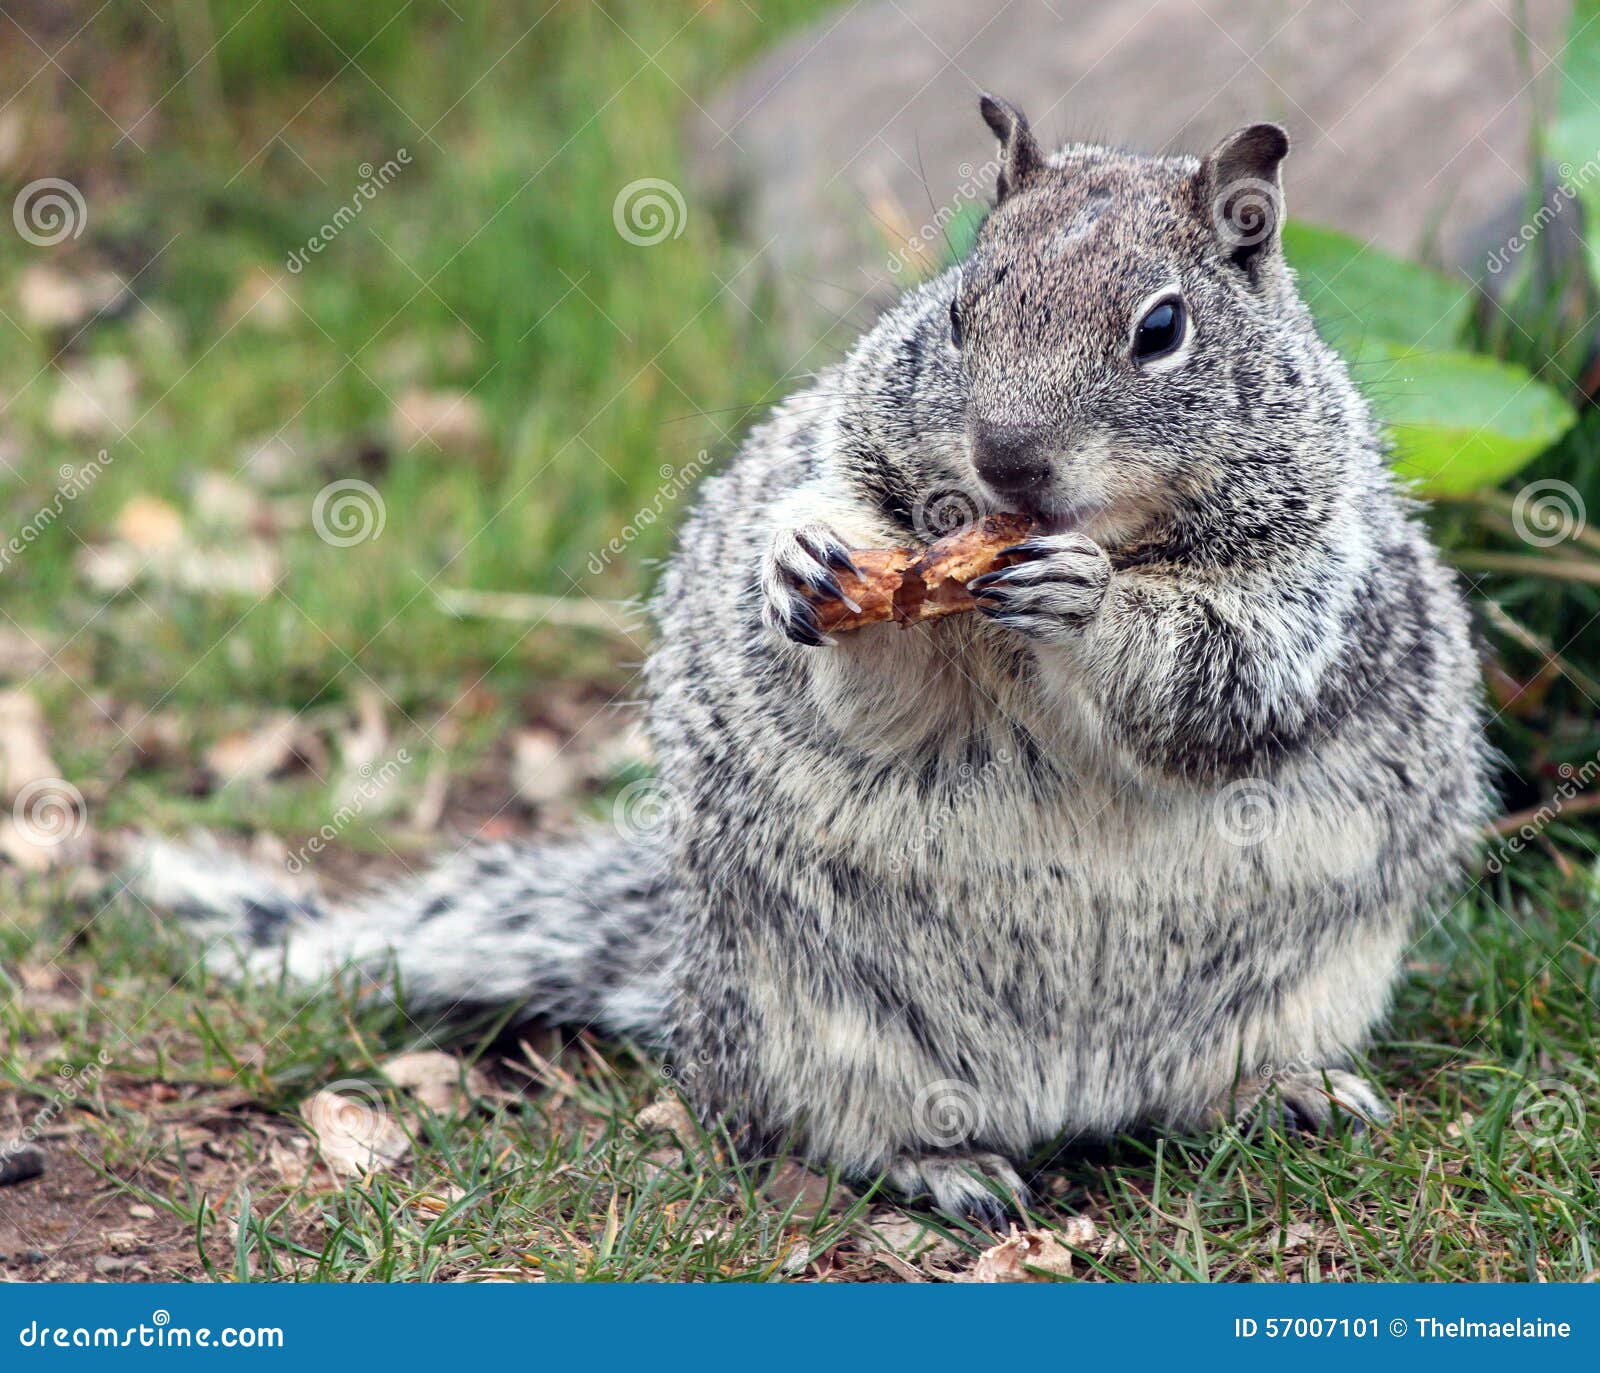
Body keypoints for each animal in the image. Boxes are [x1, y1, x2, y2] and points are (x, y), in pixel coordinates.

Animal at [138, 95, 1489, 1221]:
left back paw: (1288, 1091)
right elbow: (867, 684)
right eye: (959, 307)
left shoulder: (1306, 583)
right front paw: (808, 567)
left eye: (1163, 328)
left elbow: (1221, 685)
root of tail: (1072, 1094)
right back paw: (949, 1165)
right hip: (812, 1022)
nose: (1006, 458)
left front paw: (1089, 603)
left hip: (1316, 980)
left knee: (1214, 1081)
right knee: (847, 1125)